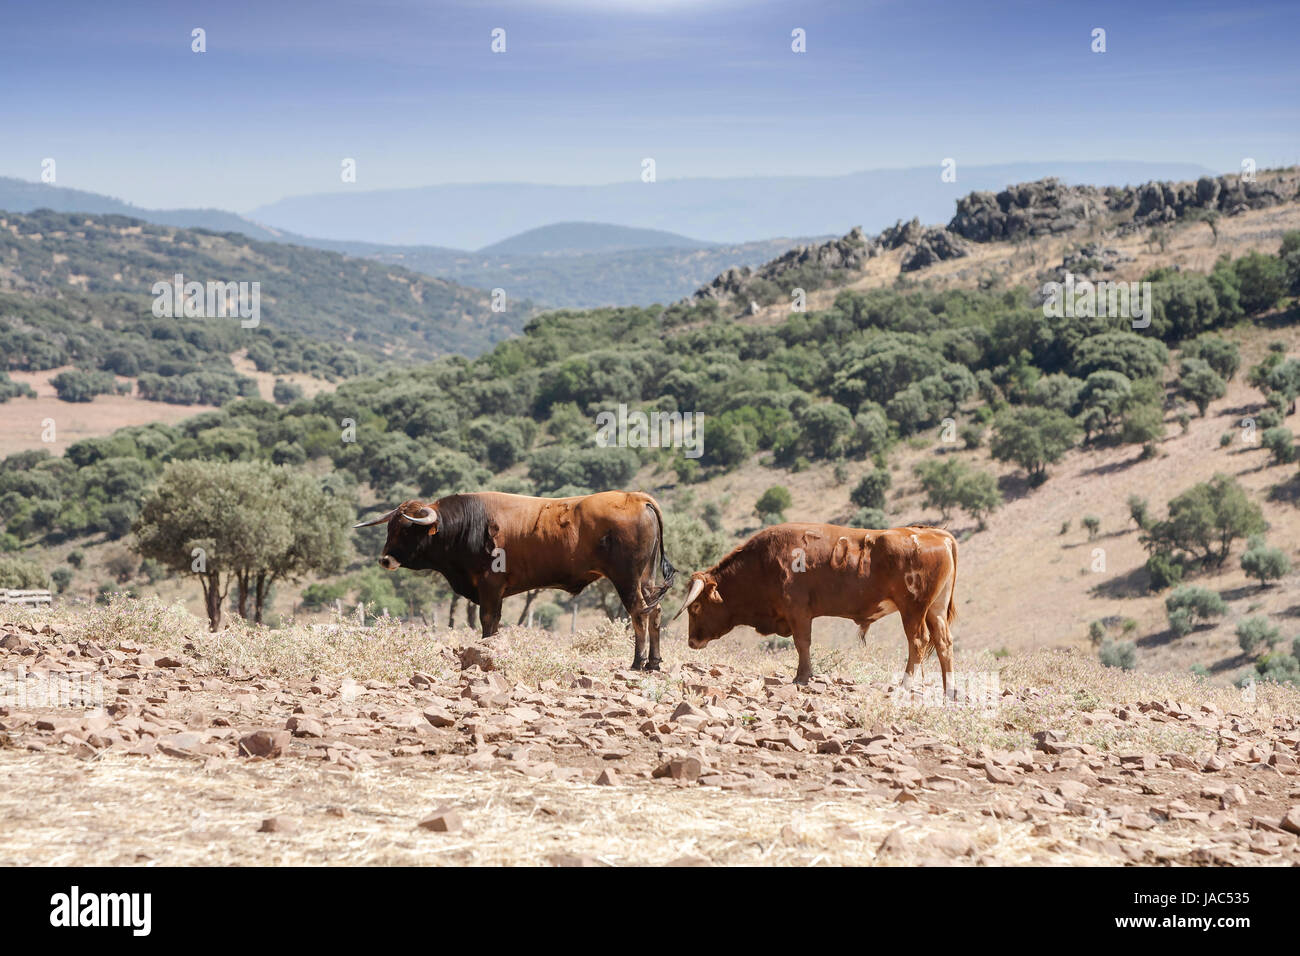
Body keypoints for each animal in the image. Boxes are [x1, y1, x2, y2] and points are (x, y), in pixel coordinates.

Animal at [354, 491, 676, 670]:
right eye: (390, 527)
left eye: (407, 529)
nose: (385, 559)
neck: (468, 523)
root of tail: (637, 497)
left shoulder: (490, 586)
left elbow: (488, 622)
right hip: (645, 578)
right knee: (655, 611)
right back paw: (654, 663)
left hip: (627, 579)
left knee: (638, 613)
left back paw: (637, 662)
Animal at [673, 523, 958, 697]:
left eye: (695, 606)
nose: (692, 641)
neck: (762, 563)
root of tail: (936, 534)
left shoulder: (798, 611)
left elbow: (802, 643)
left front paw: (802, 676)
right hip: (935, 610)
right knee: (944, 643)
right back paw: (950, 691)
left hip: (913, 608)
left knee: (918, 641)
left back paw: (905, 684)